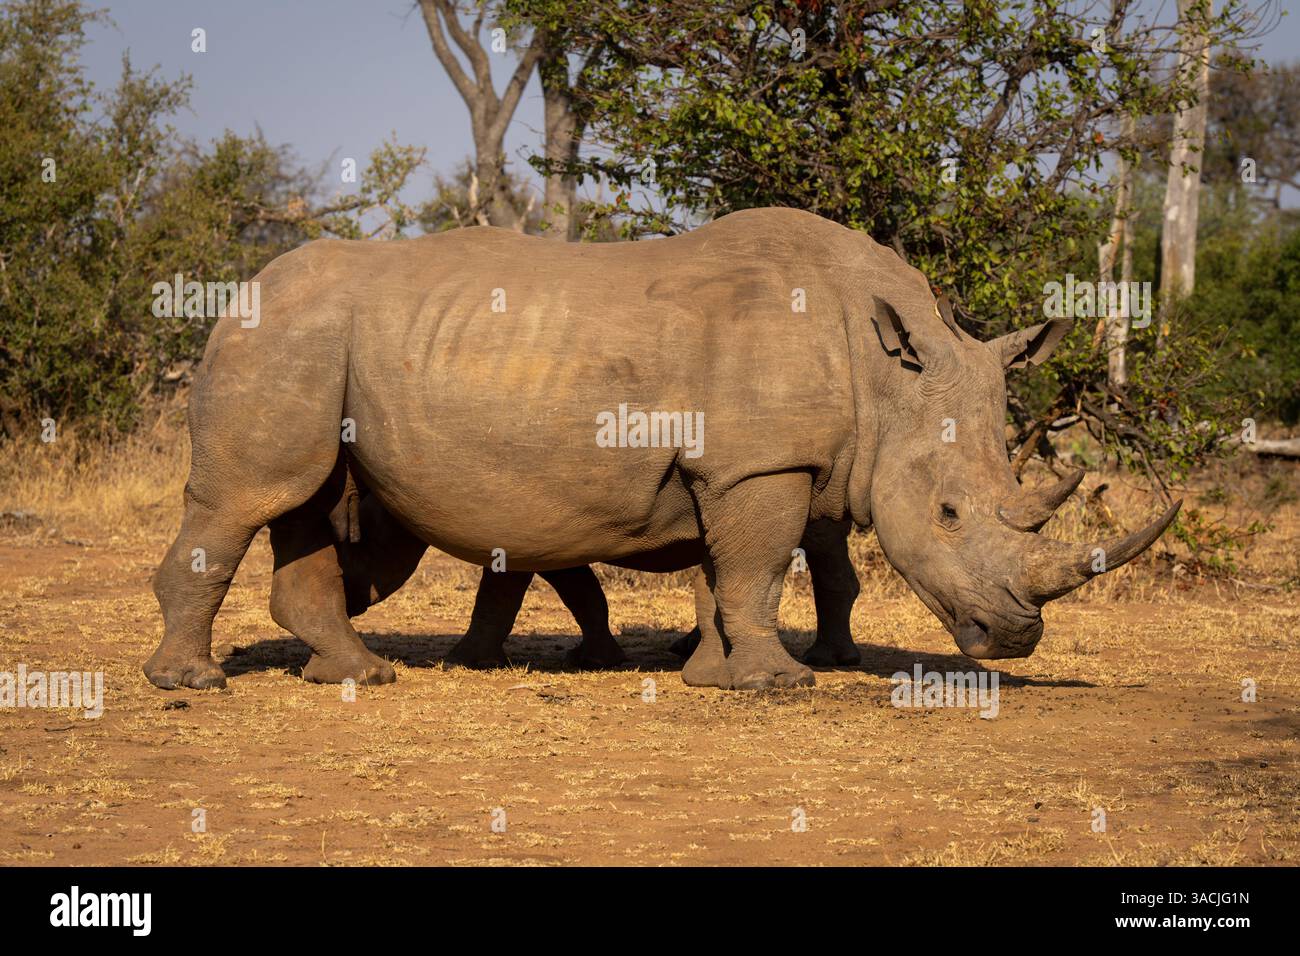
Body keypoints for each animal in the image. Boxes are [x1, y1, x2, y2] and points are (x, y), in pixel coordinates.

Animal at [144, 207, 1178, 692]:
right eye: (950, 514)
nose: (1017, 638)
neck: (888, 375)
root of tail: (238, 288)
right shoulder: (761, 462)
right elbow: (756, 569)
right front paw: (779, 685)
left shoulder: (740, 465)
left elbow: (728, 574)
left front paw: (713, 677)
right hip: (282, 334)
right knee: (248, 500)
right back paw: (193, 683)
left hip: (316, 344)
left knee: (307, 502)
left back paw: (356, 674)